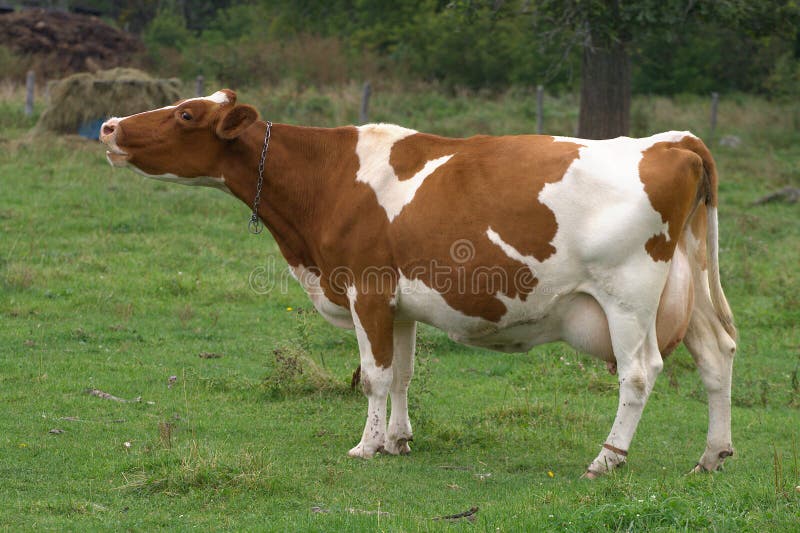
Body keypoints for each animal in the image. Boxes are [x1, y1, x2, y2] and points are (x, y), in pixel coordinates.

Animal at [99, 89, 737, 477]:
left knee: (639, 373)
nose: (107, 125)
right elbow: (403, 373)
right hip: (690, 294)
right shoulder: (398, 303)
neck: (328, 179)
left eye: (185, 115)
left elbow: (374, 376)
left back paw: (607, 460)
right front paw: (398, 440)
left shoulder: (366, 288)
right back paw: (711, 455)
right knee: (717, 356)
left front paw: (366, 446)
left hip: (627, 297)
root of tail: (670, 140)